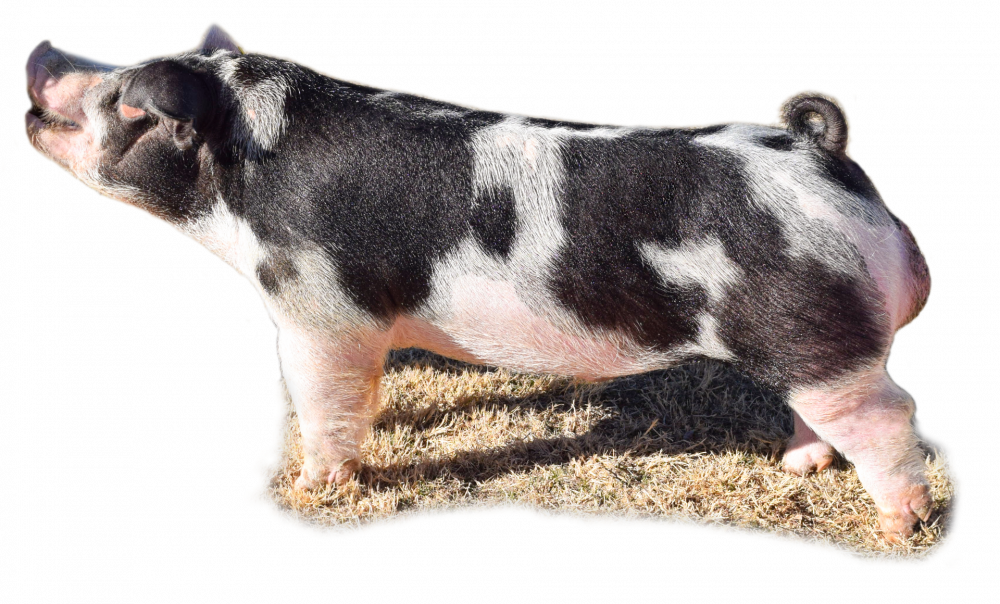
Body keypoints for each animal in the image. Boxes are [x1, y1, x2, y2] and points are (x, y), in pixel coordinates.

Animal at [23, 22, 935, 540]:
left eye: (125, 100)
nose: (39, 51)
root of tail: (827, 159)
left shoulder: (319, 307)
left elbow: (325, 399)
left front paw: (312, 489)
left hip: (815, 332)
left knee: (890, 417)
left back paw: (903, 529)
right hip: (810, 353)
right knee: (826, 415)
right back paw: (799, 468)